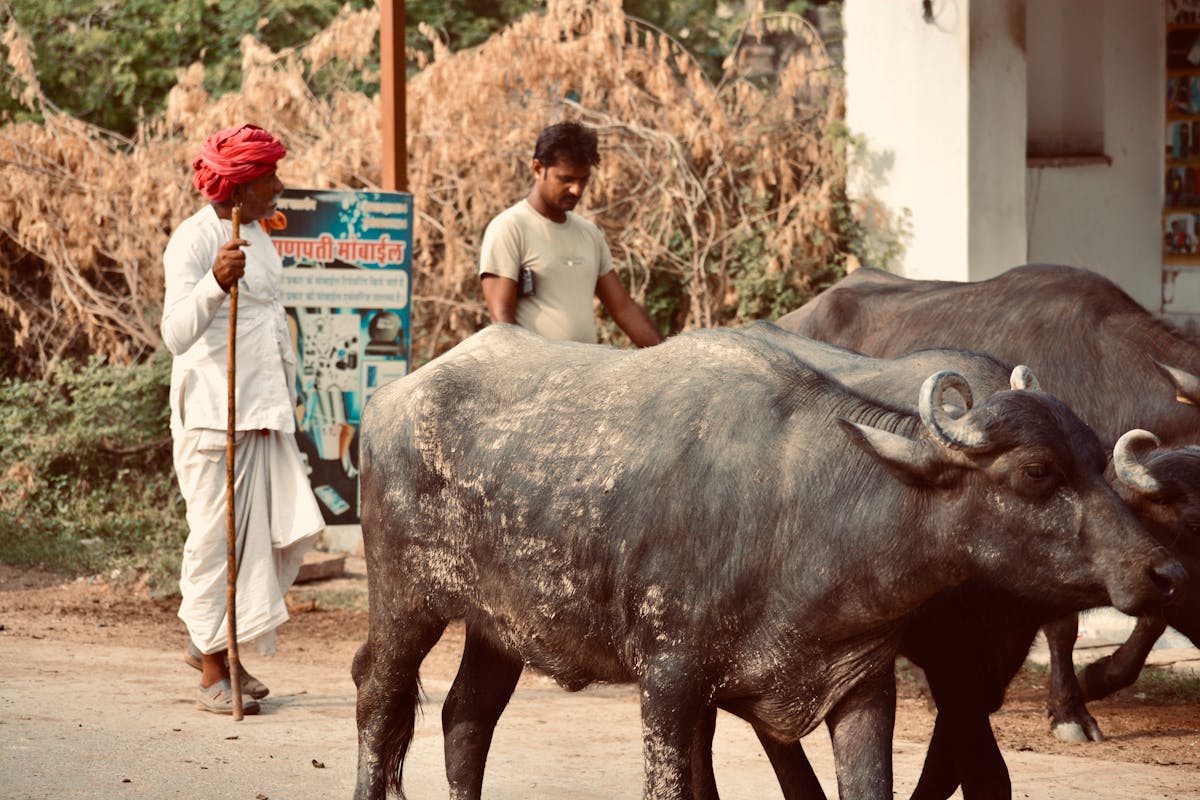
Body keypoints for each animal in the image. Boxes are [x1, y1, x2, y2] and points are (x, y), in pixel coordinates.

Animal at [352, 323, 1182, 800]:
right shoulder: (669, 684)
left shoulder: (862, 686)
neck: (804, 512)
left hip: (499, 625)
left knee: (465, 719)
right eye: (1037, 471)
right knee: (377, 701)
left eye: (1096, 458)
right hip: (405, 604)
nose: (1164, 572)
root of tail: (393, 397)